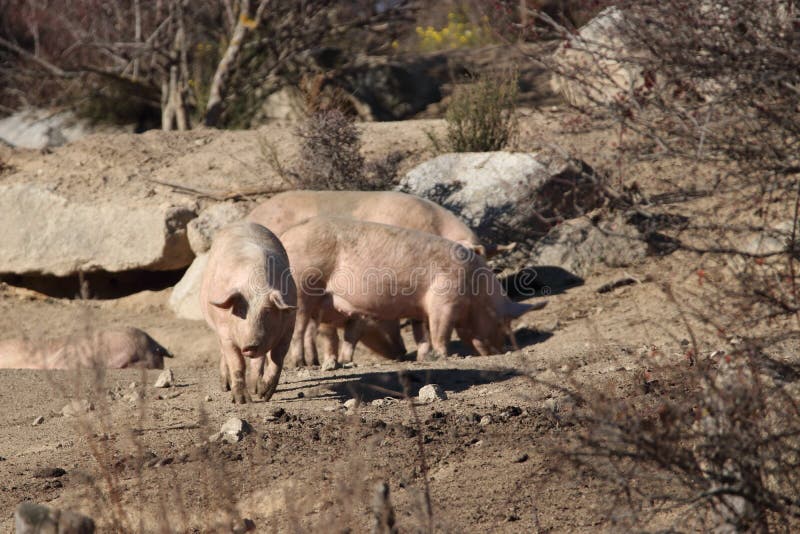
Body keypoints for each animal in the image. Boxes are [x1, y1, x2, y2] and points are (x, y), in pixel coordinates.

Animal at [200, 222, 297, 404]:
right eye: (239, 310)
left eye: (267, 311)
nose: (250, 345)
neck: (255, 287)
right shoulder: (225, 332)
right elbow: (237, 363)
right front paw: (242, 401)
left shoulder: (288, 327)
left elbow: (277, 358)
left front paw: (264, 395)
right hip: (217, 327)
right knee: (224, 354)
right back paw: (225, 386)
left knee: (259, 359)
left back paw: (255, 388)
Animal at [279, 216, 546, 366]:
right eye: (502, 322)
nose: (498, 351)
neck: (476, 293)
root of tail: (285, 236)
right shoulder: (444, 299)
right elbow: (440, 331)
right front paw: (444, 356)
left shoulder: (420, 309)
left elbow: (421, 333)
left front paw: (423, 358)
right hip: (303, 288)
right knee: (299, 329)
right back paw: (301, 364)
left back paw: (332, 363)